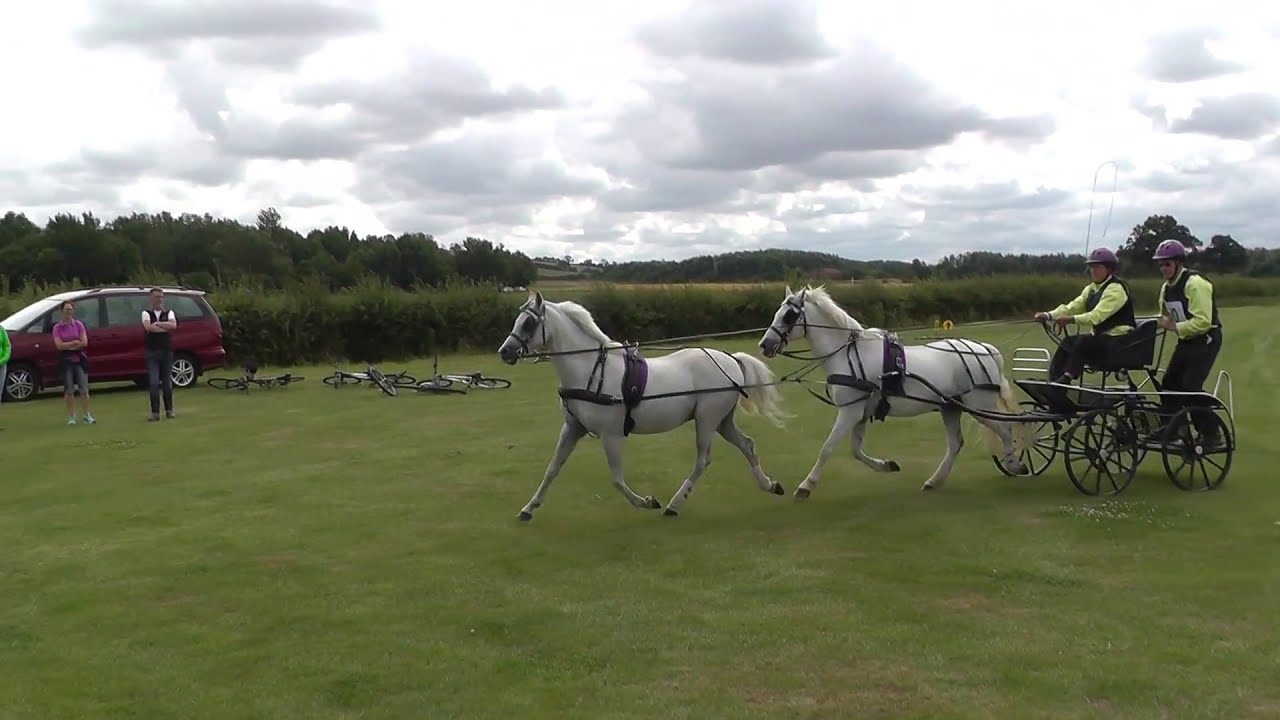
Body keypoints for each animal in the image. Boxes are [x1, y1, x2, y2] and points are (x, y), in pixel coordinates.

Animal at [497, 291, 792, 521]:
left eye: (528, 323)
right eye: (518, 320)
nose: (505, 352)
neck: (591, 370)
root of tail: (731, 359)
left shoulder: (611, 435)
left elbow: (616, 479)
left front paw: (647, 502)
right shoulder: (572, 428)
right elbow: (552, 469)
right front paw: (528, 508)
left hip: (707, 420)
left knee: (703, 460)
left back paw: (674, 504)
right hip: (722, 421)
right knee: (747, 445)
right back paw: (769, 485)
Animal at [756, 285, 1031, 497]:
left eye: (789, 316)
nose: (764, 345)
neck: (848, 354)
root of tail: (985, 349)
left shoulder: (849, 412)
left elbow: (827, 448)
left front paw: (806, 486)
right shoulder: (860, 413)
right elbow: (855, 450)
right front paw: (887, 465)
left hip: (978, 404)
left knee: (1006, 428)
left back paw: (1015, 465)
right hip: (951, 406)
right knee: (956, 443)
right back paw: (935, 481)